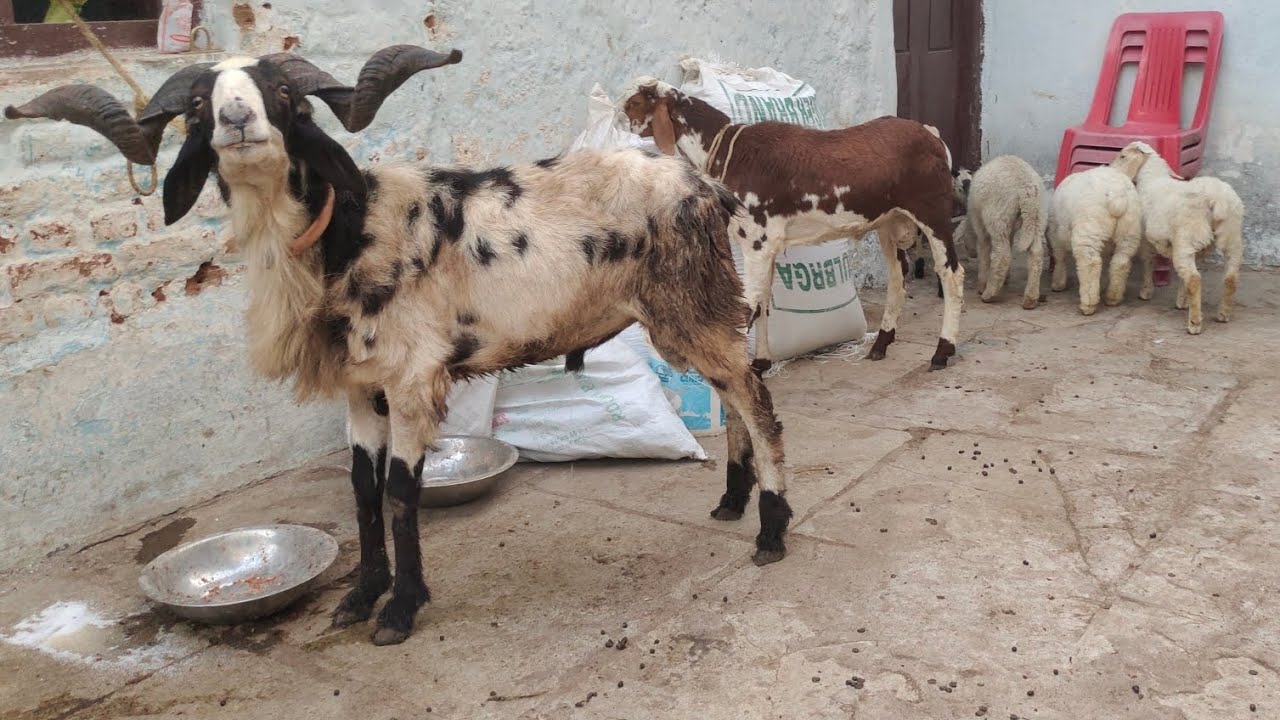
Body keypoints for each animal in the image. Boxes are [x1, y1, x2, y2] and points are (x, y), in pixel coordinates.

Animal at [6, 46, 795, 645]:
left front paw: (399, 608)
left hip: (689, 303)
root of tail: (703, 184)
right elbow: (361, 487)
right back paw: (732, 500)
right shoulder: (363, 385)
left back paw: (771, 528)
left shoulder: (414, 377)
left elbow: (400, 490)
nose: (235, 119)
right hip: (688, 312)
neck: (343, 232)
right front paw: (360, 595)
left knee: (755, 396)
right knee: (734, 393)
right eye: (198, 104)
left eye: (285, 95)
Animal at [621, 78, 964, 371]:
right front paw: (761, 362)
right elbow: (763, 303)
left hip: (933, 213)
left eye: (635, 102)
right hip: (889, 221)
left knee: (951, 273)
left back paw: (942, 350)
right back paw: (882, 342)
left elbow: (749, 306)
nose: (620, 117)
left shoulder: (757, 242)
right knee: (897, 276)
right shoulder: (765, 246)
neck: (729, 151)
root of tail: (930, 133)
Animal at [1109, 141, 1244, 334]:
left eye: (1123, 156)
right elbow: (1181, 277)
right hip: (1230, 236)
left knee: (1194, 279)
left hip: (1187, 237)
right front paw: (1182, 301)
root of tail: (1217, 199)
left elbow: (1148, 262)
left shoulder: (1146, 238)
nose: (1111, 170)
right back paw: (1223, 315)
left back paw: (1194, 324)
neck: (1151, 180)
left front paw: (1146, 291)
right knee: (1230, 277)